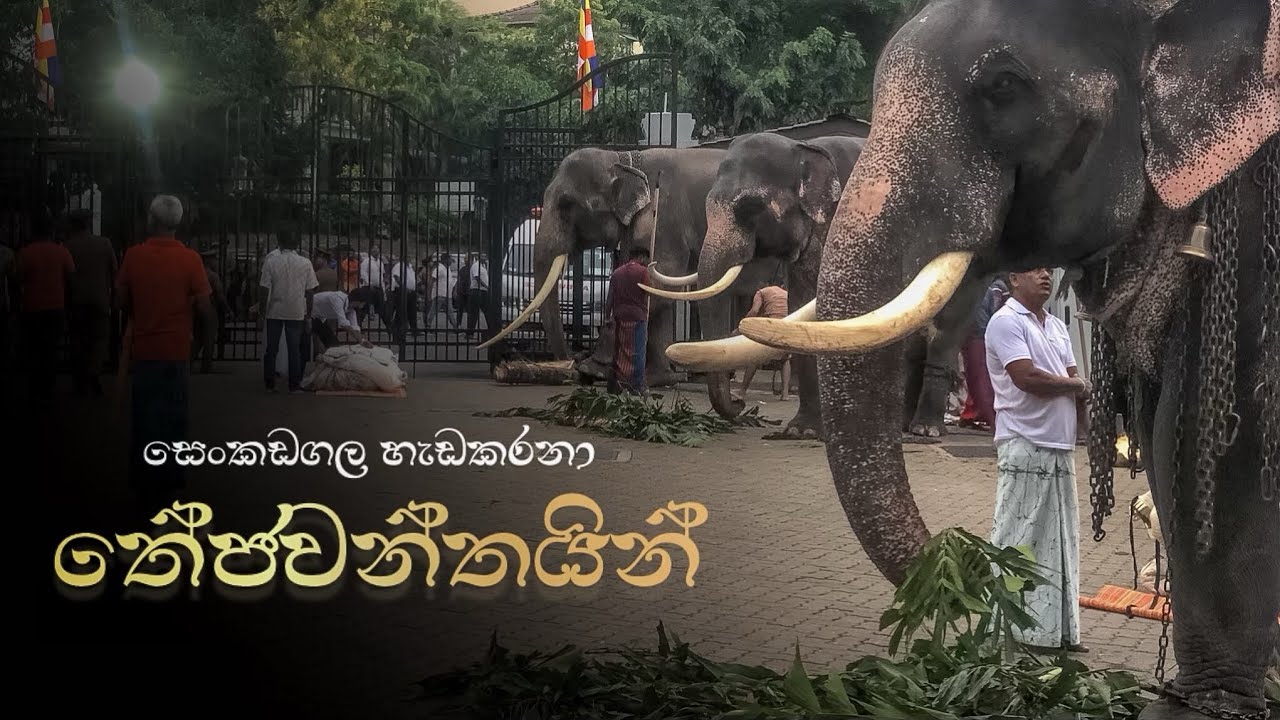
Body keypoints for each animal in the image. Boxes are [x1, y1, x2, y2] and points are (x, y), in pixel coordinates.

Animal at [480, 147, 731, 388]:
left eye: (566, 204)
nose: (574, 358)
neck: (623, 160)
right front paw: (658, 379)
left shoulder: (664, 222)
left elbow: (657, 285)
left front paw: (592, 369)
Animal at [656, 132, 983, 439]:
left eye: (750, 207)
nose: (739, 405)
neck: (805, 148)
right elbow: (803, 305)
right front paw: (803, 431)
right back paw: (905, 426)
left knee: (945, 331)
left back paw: (925, 429)